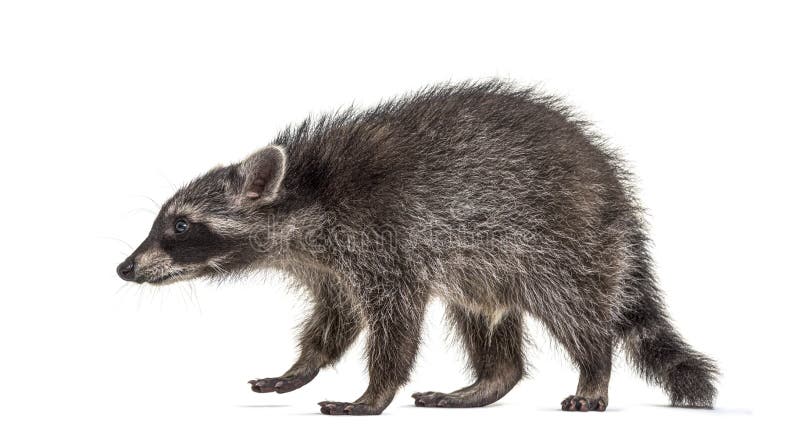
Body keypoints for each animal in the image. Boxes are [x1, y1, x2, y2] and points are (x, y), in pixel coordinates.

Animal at [117, 80, 718, 415]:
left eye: (180, 227)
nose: (124, 268)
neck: (305, 194)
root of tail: (611, 185)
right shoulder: (332, 266)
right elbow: (335, 320)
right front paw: (305, 363)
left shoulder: (386, 241)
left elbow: (396, 323)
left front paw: (374, 392)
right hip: (488, 261)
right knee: (484, 316)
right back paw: (488, 381)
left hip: (557, 238)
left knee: (574, 309)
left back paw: (593, 367)